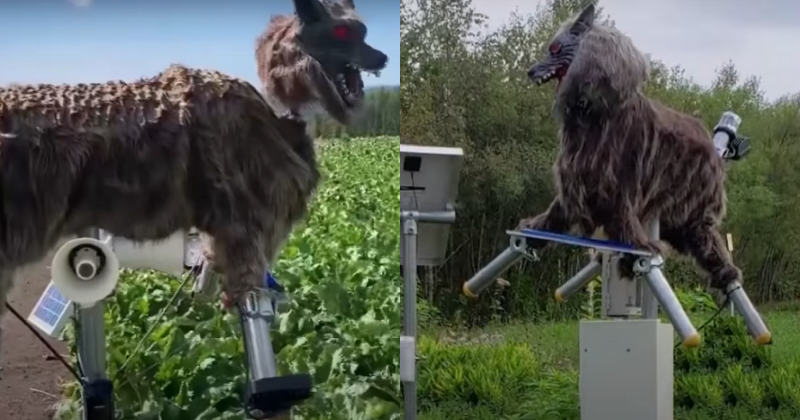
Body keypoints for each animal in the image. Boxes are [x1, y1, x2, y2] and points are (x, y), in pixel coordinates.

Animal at [519, 4, 741, 292]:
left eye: (555, 49)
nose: (530, 70)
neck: (594, 115)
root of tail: (713, 147)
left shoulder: (617, 188)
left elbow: (625, 225)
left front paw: (639, 249)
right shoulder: (577, 183)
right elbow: (556, 213)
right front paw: (535, 228)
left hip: (692, 209)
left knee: (706, 238)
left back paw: (726, 273)